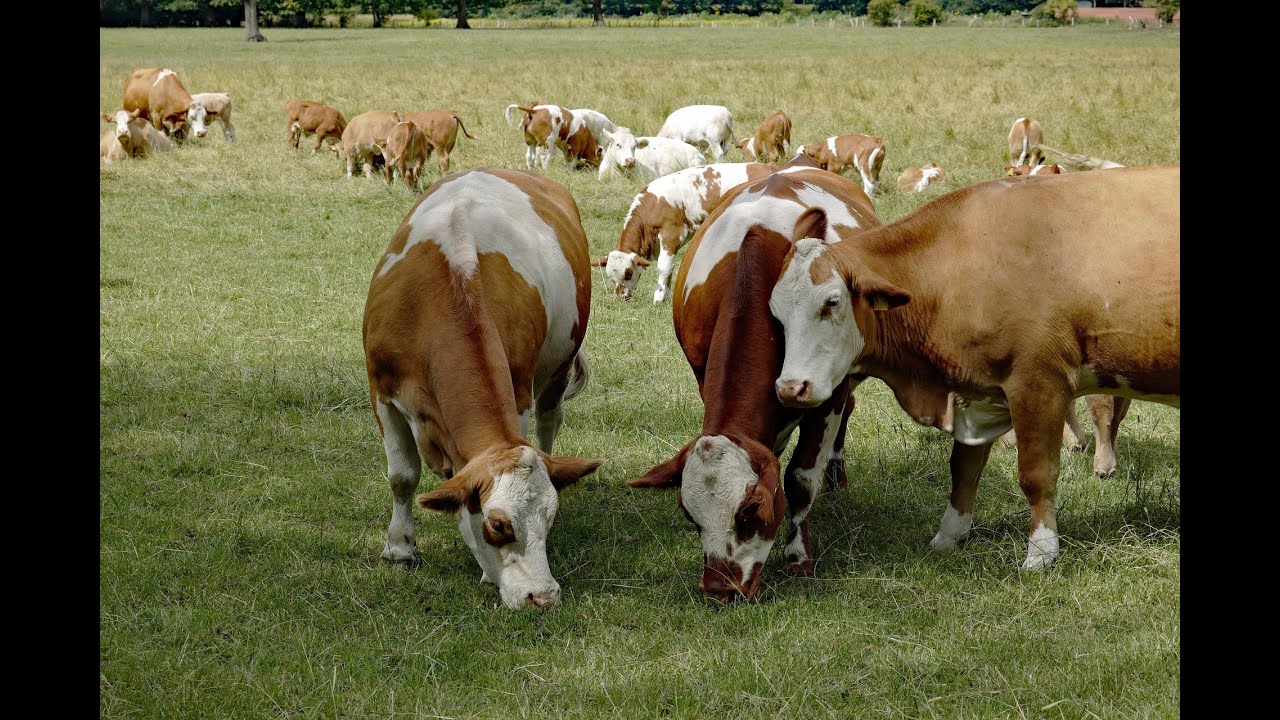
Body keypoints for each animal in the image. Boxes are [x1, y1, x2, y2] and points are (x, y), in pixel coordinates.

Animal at [363, 168, 602, 609]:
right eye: (499, 525)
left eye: (551, 518)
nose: (544, 597)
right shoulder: (382, 392)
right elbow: (402, 476)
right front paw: (400, 548)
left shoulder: (519, 392)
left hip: (559, 365)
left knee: (549, 421)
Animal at [592, 162, 778, 303]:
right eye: (611, 277)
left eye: (628, 273)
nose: (622, 297)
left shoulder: (670, 235)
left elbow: (664, 267)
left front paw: (658, 298)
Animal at [627, 166, 882, 603]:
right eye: (691, 517)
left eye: (751, 512)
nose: (719, 590)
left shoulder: (826, 393)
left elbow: (799, 478)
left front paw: (798, 558)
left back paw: (837, 479)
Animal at [769, 165, 1180, 570]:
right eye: (775, 312)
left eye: (832, 302)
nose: (791, 387)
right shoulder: (975, 395)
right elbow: (963, 470)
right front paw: (949, 536)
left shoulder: (1038, 384)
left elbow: (1036, 474)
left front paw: (1041, 552)